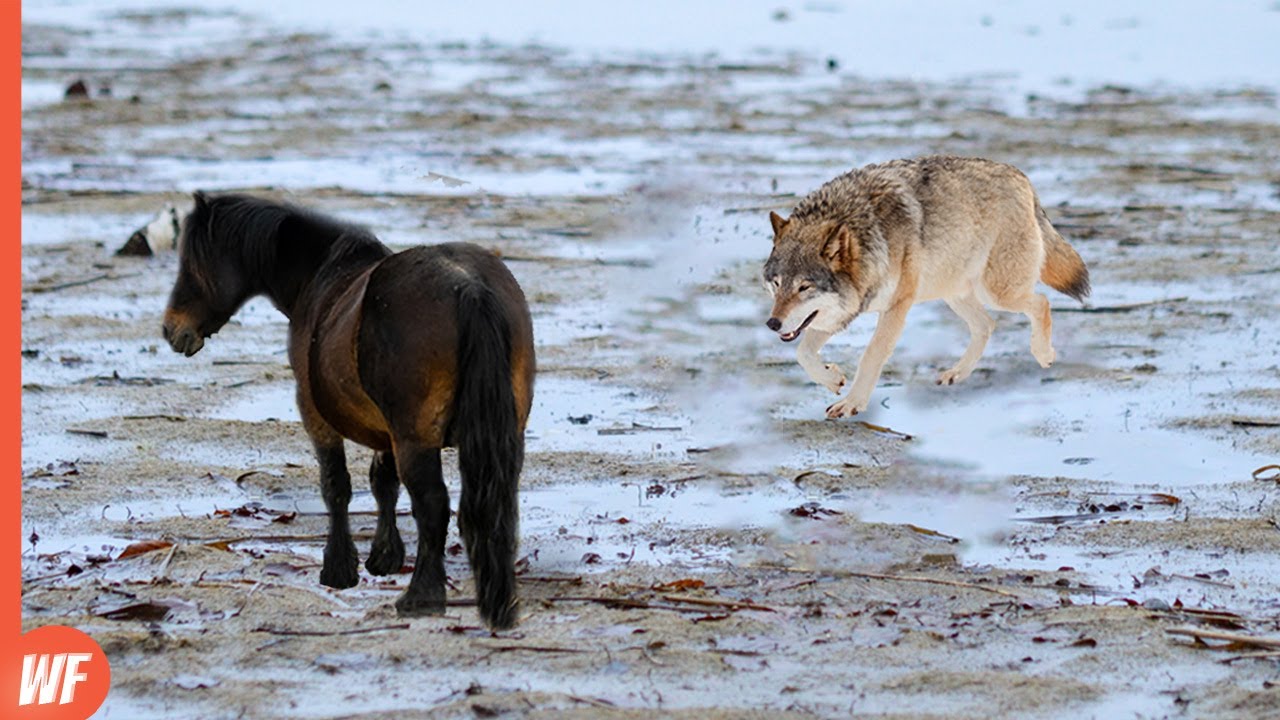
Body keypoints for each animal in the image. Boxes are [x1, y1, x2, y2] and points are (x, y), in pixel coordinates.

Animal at [162, 192, 535, 629]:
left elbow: (336, 485)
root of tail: (468, 286)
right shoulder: (386, 433)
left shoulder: (316, 415)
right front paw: (384, 556)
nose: (171, 329)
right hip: (501, 434)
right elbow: (383, 483)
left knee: (432, 506)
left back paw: (422, 596)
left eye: (191, 262)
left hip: (416, 439)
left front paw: (339, 567)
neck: (319, 276)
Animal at [762, 155, 1089, 419]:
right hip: (955, 292)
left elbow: (870, 356)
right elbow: (803, 353)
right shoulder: (846, 310)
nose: (772, 323)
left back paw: (1044, 355)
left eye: (804, 287)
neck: (870, 231)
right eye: (777, 284)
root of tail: (1022, 177)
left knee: (1041, 302)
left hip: (997, 291)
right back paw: (957, 374)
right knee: (987, 325)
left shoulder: (897, 306)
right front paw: (833, 378)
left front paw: (853, 403)